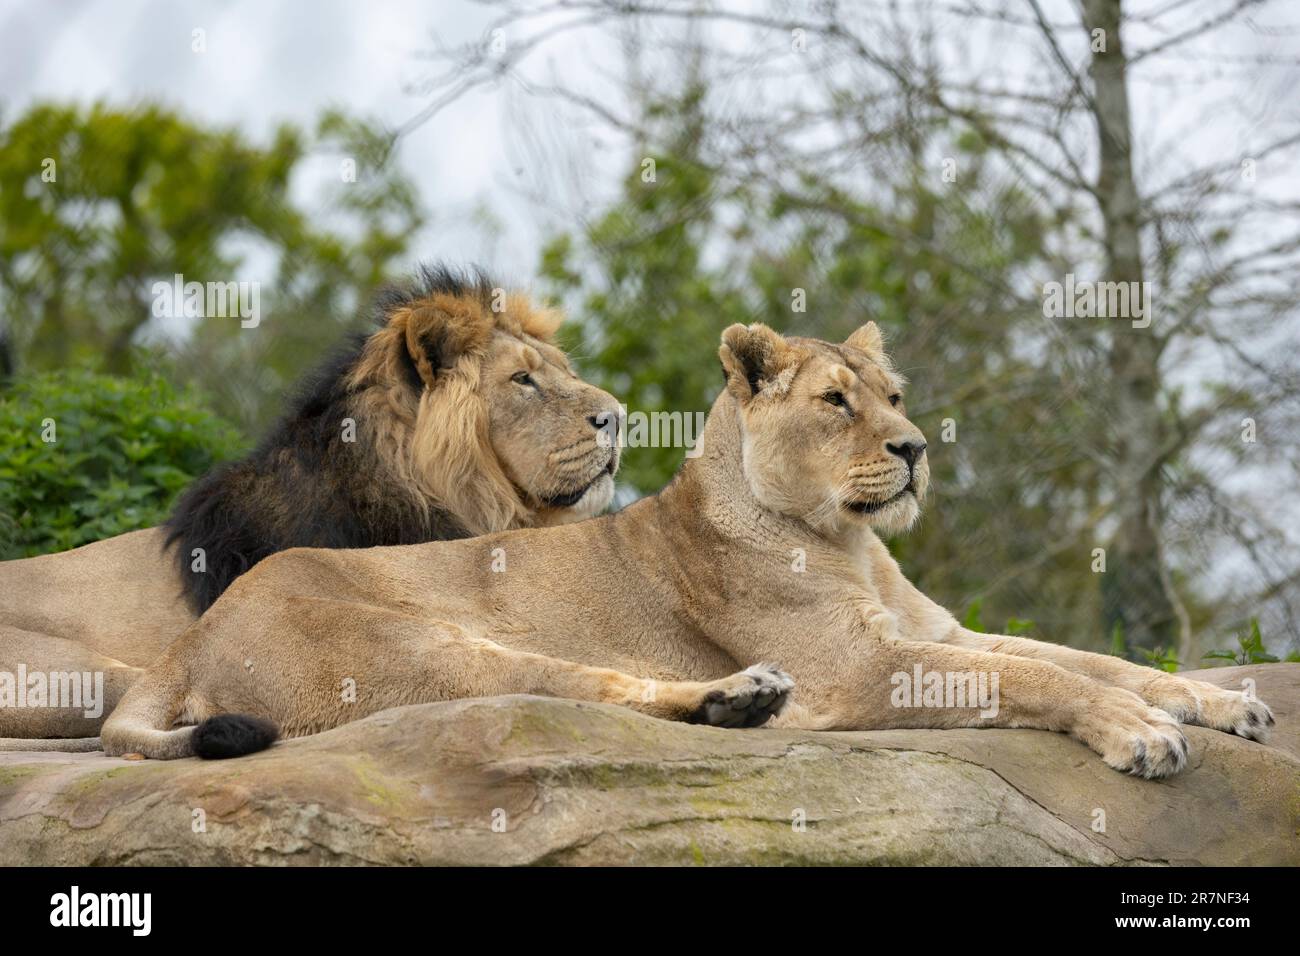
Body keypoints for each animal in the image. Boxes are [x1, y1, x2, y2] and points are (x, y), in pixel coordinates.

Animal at [100, 321, 1273, 777]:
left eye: (894, 395)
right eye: (836, 401)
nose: (913, 448)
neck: (849, 543)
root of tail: (190, 641)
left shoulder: (937, 629)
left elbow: (1086, 658)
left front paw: (1216, 701)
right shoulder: (861, 668)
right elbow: (1038, 678)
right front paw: (1141, 735)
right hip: (436, 647)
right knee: (587, 691)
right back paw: (742, 698)